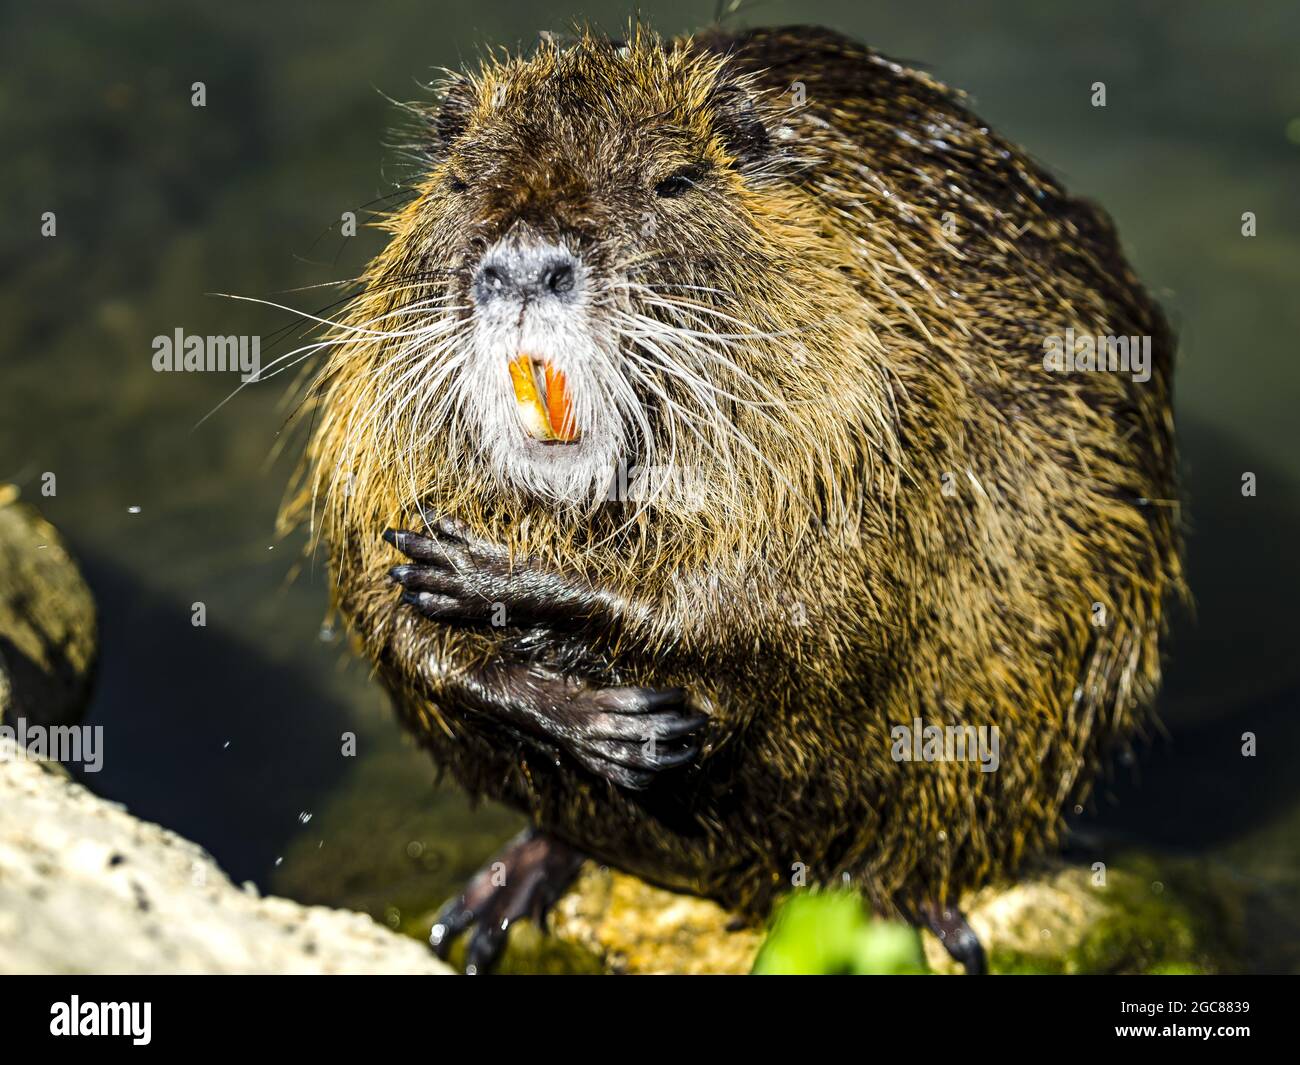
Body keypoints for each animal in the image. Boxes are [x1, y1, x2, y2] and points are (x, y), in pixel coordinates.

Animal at [286, 23, 1182, 974]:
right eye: (459, 180)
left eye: (675, 179)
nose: (526, 267)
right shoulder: (371, 455)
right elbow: (392, 618)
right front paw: (604, 716)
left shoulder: (876, 399)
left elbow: (800, 610)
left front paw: (497, 581)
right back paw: (494, 898)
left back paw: (907, 916)